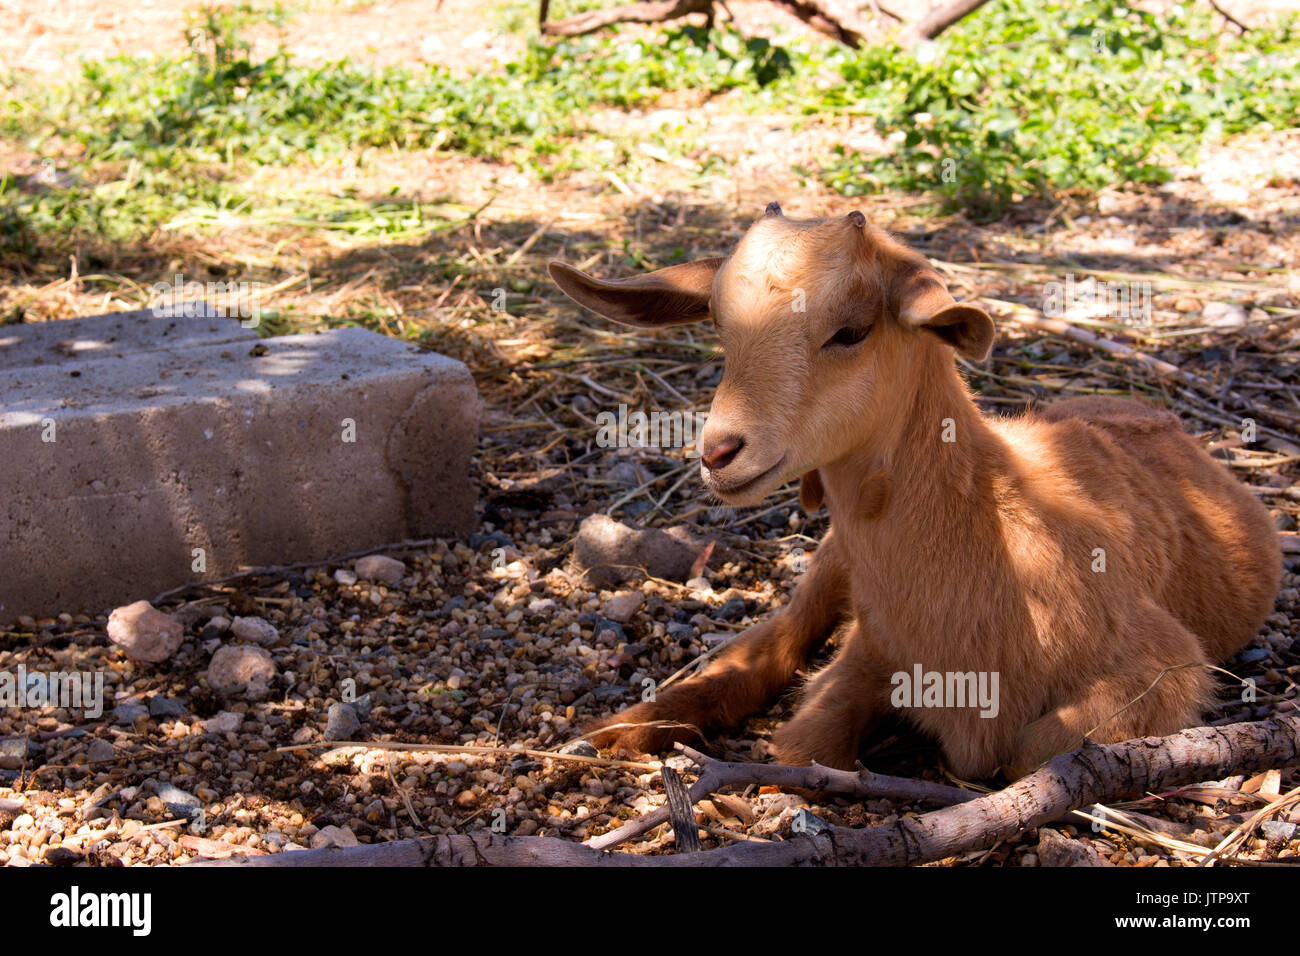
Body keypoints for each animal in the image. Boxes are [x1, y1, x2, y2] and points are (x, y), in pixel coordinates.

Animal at [548, 206, 1281, 778]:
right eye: (720, 329)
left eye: (852, 330)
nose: (719, 452)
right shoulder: (871, 646)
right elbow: (802, 742)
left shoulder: (1165, 660)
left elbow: (1034, 750)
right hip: (831, 558)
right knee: (774, 639)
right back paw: (627, 726)